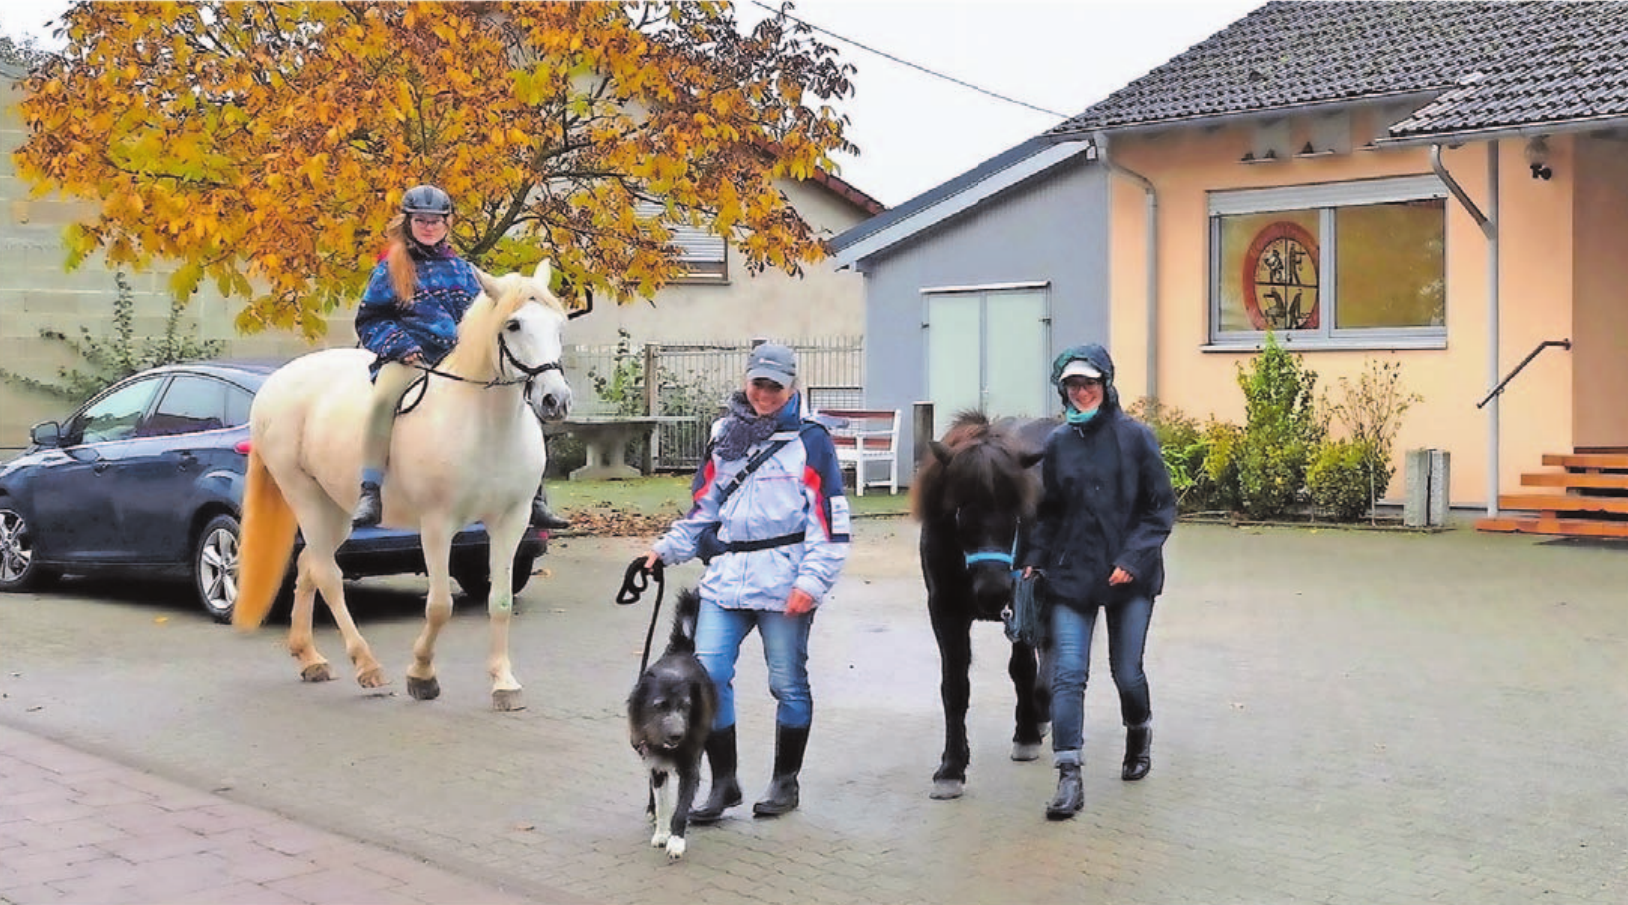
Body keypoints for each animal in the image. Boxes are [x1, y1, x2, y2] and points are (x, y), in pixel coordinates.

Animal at [231, 261, 573, 712]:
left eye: (559, 325)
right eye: (513, 325)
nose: (556, 400)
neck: (483, 424)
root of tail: (274, 385)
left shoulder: (510, 522)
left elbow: (499, 601)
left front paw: (504, 683)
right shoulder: (437, 525)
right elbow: (440, 605)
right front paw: (422, 675)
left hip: (336, 508)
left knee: (308, 567)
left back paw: (310, 658)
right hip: (303, 495)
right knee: (327, 574)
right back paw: (367, 667)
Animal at [912, 410, 1056, 799]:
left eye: (1017, 509)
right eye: (960, 509)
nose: (993, 592)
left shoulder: (1023, 601)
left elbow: (1022, 670)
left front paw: (1026, 735)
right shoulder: (944, 612)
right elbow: (954, 687)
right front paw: (951, 768)